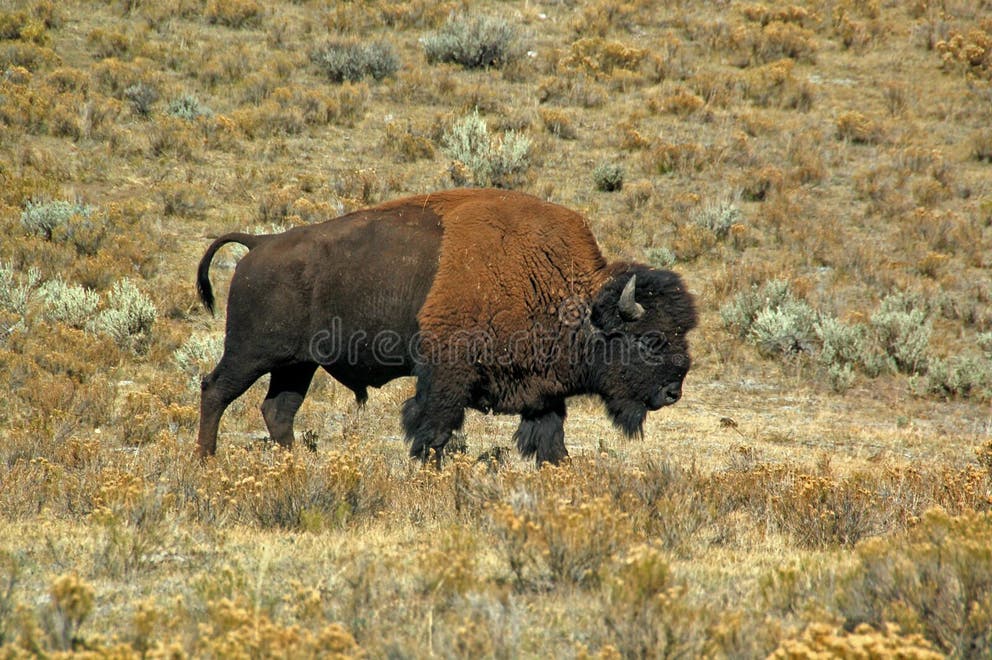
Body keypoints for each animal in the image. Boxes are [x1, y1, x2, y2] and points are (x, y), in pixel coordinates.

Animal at [195, 188, 696, 465]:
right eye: (650, 340)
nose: (673, 391)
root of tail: (259, 244)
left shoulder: (542, 390)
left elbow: (549, 441)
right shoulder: (446, 375)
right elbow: (433, 428)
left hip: (297, 364)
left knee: (278, 410)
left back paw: (291, 464)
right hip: (251, 353)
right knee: (215, 389)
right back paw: (205, 460)